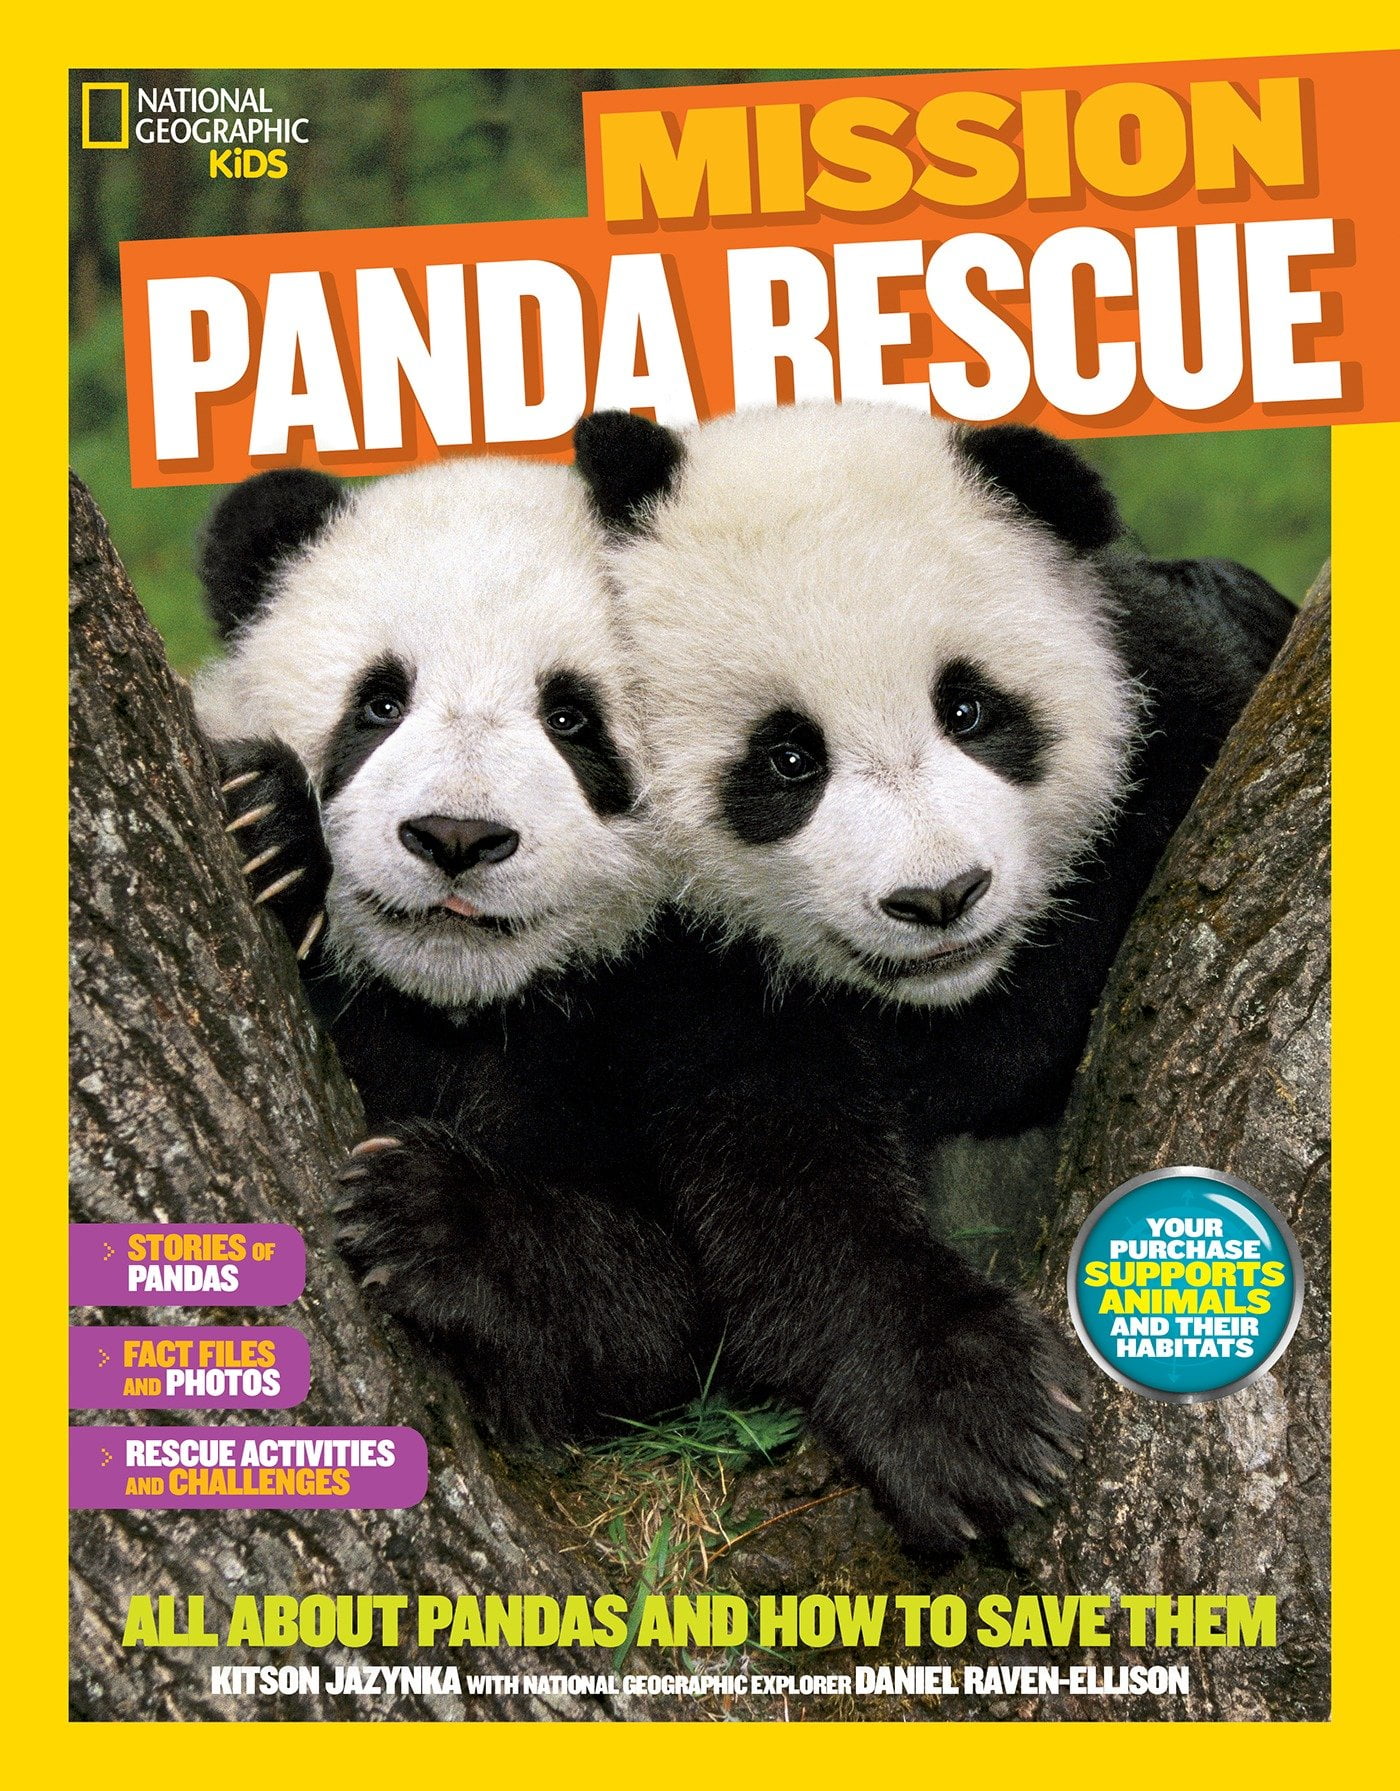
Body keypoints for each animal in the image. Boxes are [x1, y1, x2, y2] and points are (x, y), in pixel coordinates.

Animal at [192, 456, 701, 1443]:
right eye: (380, 703)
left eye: (573, 719)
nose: (456, 836)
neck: (456, 999)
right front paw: (270, 826)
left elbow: (673, 1311)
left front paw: (428, 1215)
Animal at [572, 401, 1295, 1557]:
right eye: (787, 757)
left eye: (969, 709)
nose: (938, 897)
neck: (942, 996)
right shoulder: (681, 956)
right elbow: (774, 1162)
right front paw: (970, 1417)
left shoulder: (1175, 714)